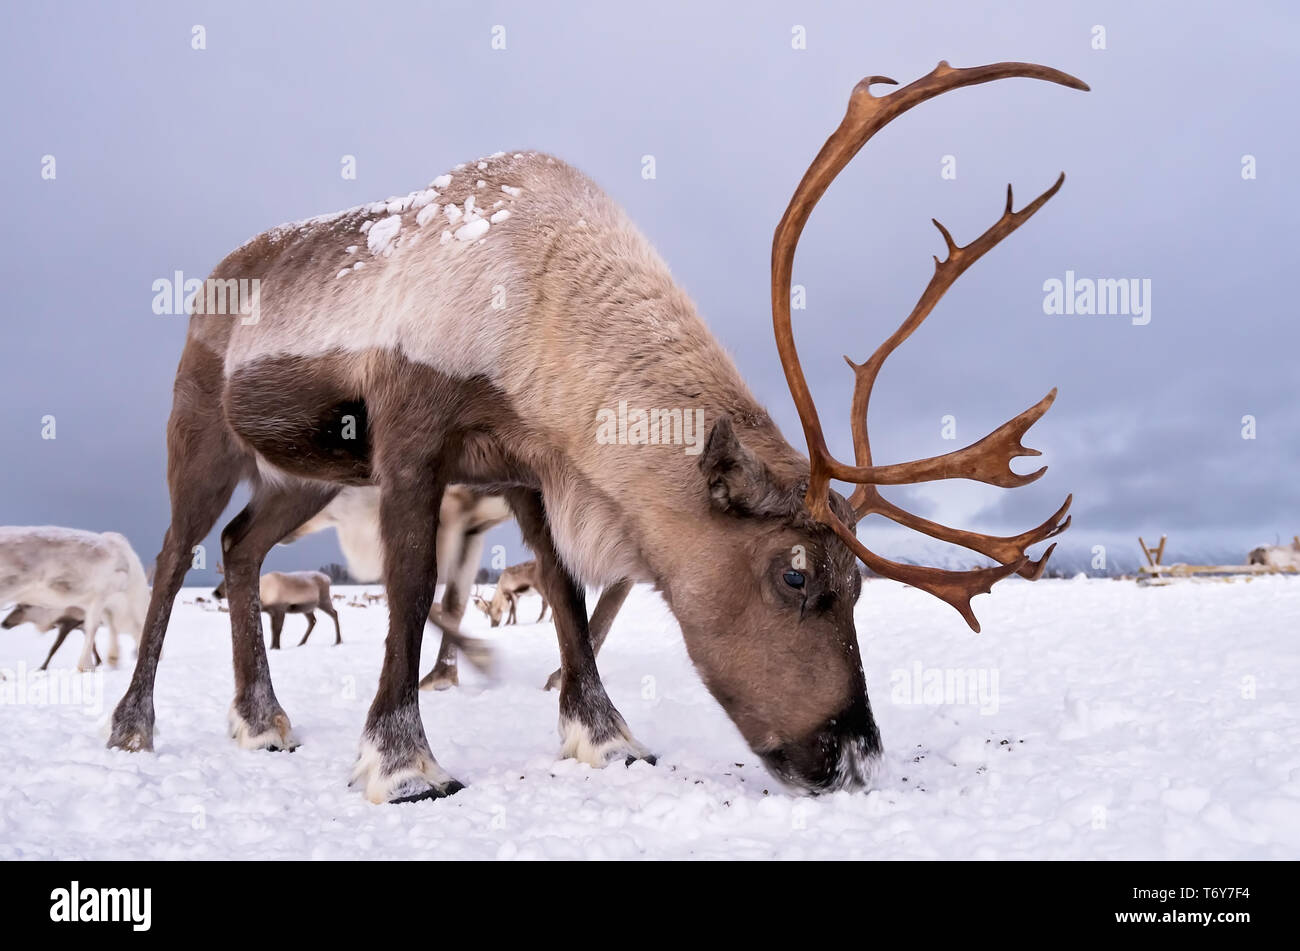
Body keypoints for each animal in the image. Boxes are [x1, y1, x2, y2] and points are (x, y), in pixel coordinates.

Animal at [213, 567, 342, 648]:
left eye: (228, 583)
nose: (215, 593)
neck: (264, 596)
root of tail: (328, 578)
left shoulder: (280, 608)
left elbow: (277, 629)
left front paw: (276, 647)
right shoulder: (272, 611)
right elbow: (273, 629)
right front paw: (273, 646)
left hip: (324, 600)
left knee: (334, 613)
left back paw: (338, 641)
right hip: (306, 607)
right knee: (313, 620)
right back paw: (301, 643)